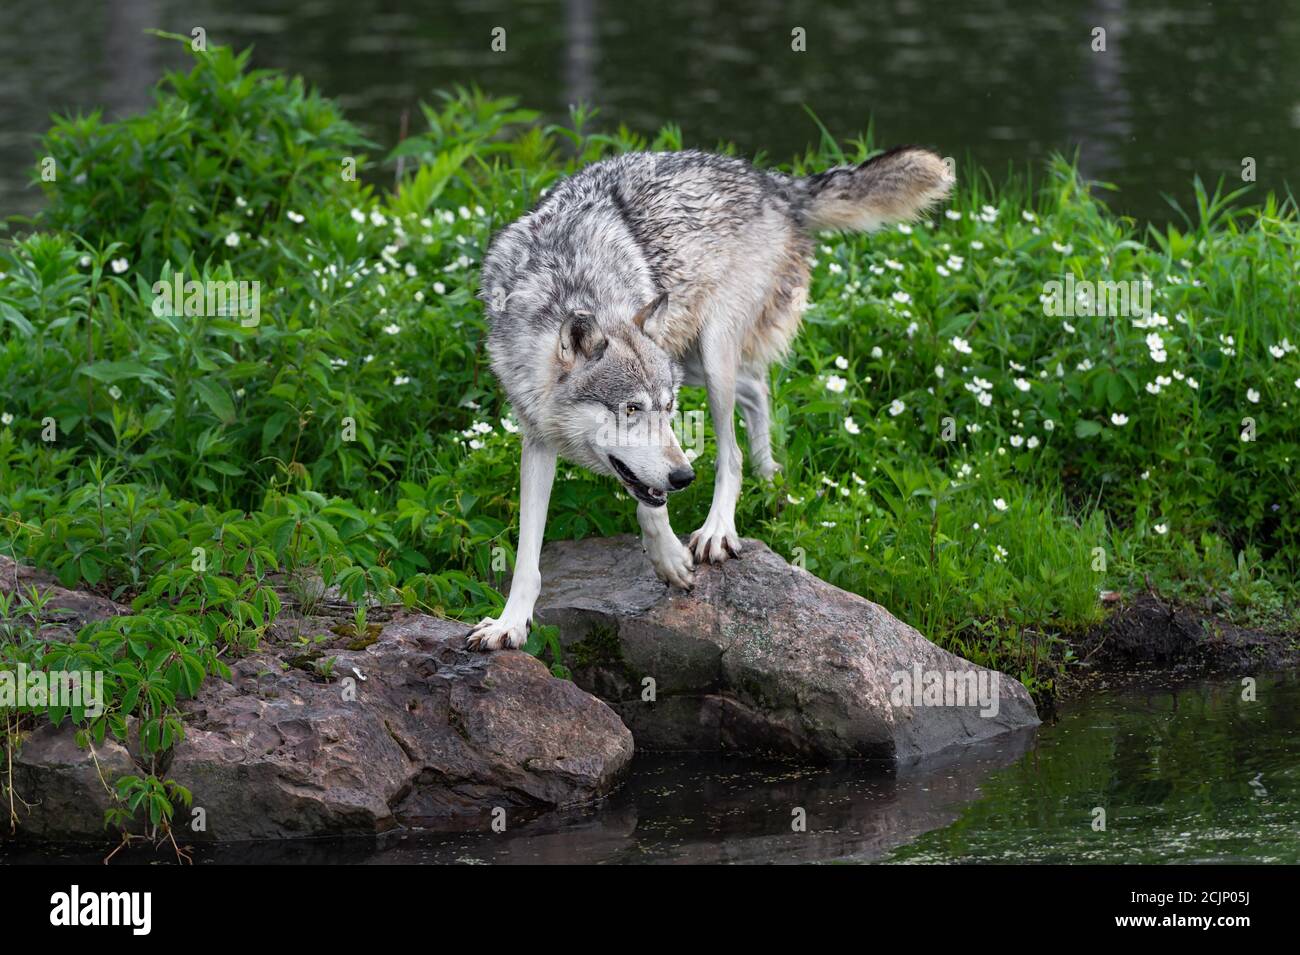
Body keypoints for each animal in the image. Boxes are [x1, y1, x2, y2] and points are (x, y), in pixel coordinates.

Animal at [469, 146, 952, 649]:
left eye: (666, 409)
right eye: (631, 409)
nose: (684, 478)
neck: (567, 283)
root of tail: (772, 181)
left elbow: (650, 508)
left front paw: (669, 559)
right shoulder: (537, 440)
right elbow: (527, 554)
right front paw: (509, 623)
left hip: (713, 353)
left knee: (732, 451)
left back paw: (720, 528)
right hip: (694, 360)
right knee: (757, 388)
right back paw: (770, 475)